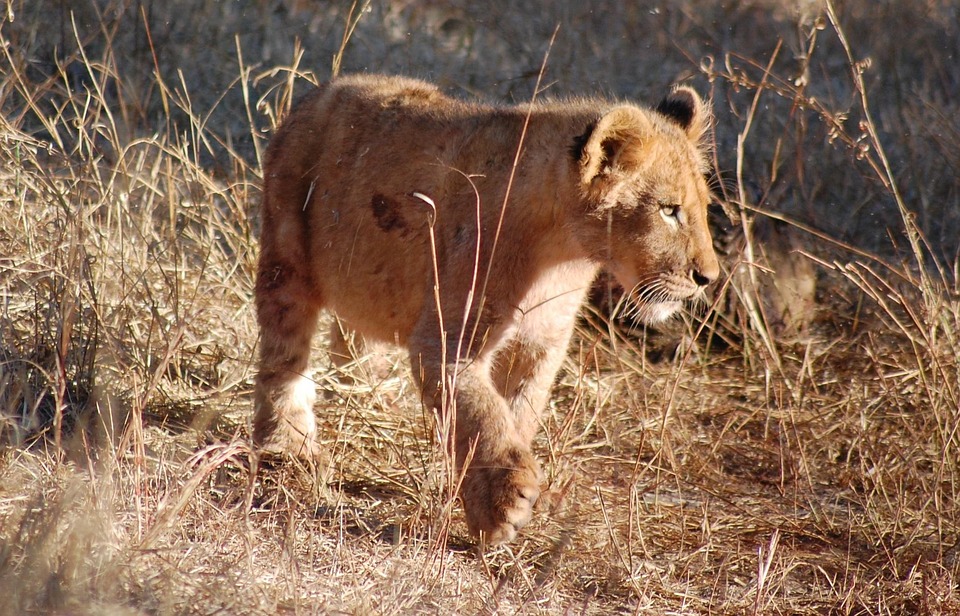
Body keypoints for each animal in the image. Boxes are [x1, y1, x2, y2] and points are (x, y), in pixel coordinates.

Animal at [253, 74, 719, 544]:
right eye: (668, 211)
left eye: (702, 208)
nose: (709, 277)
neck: (561, 254)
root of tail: (318, 92)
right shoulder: (448, 341)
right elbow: (482, 415)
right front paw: (504, 504)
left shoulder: (542, 344)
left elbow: (519, 413)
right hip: (286, 256)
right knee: (283, 358)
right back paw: (288, 448)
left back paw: (370, 396)